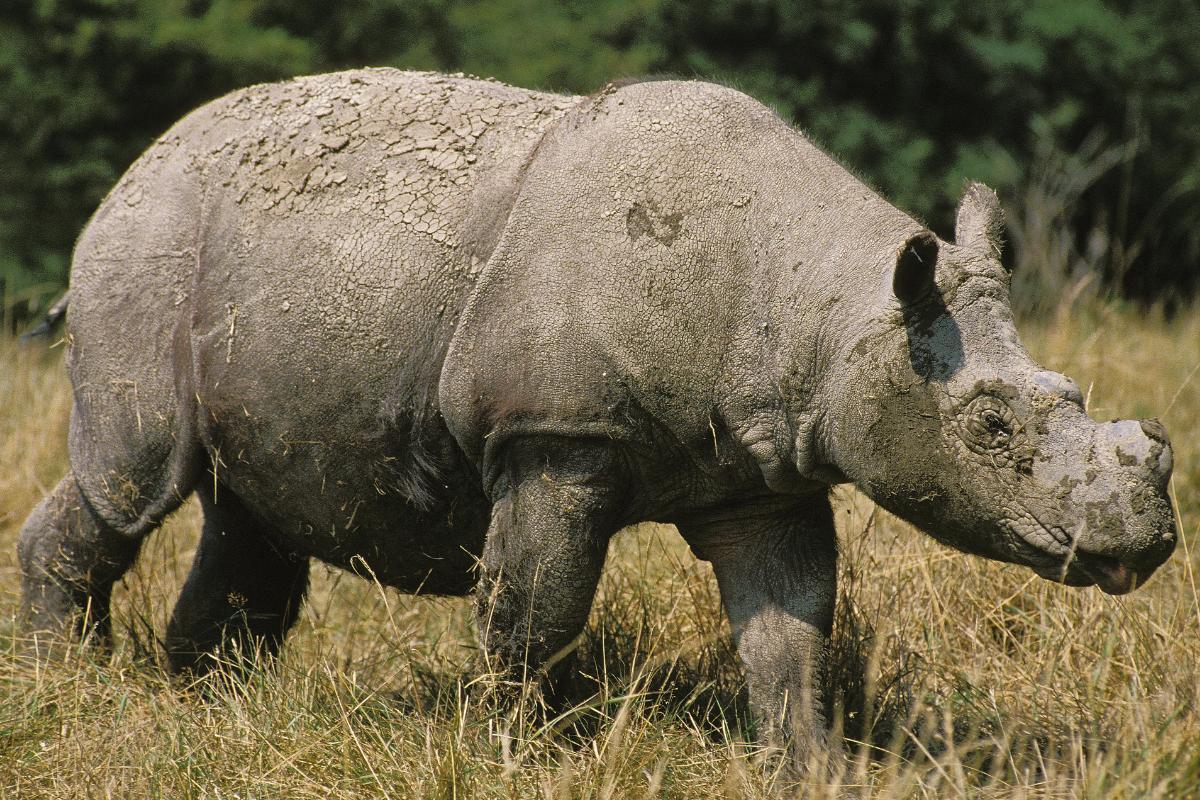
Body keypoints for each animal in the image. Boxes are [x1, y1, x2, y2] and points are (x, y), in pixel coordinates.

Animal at [18, 69, 1177, 766]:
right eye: (988, 429)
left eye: (1074, 401)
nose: (1146, 539)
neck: (828, 306)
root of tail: (136, 165)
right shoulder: (556, 435)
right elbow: (537, 607)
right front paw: (511, 750)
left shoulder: (766, 466)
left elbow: (790, 626)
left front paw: (813, 765)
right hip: (146, 249)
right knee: (133, 479)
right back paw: (61, 681)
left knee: (252, 508)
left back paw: (210, 709)